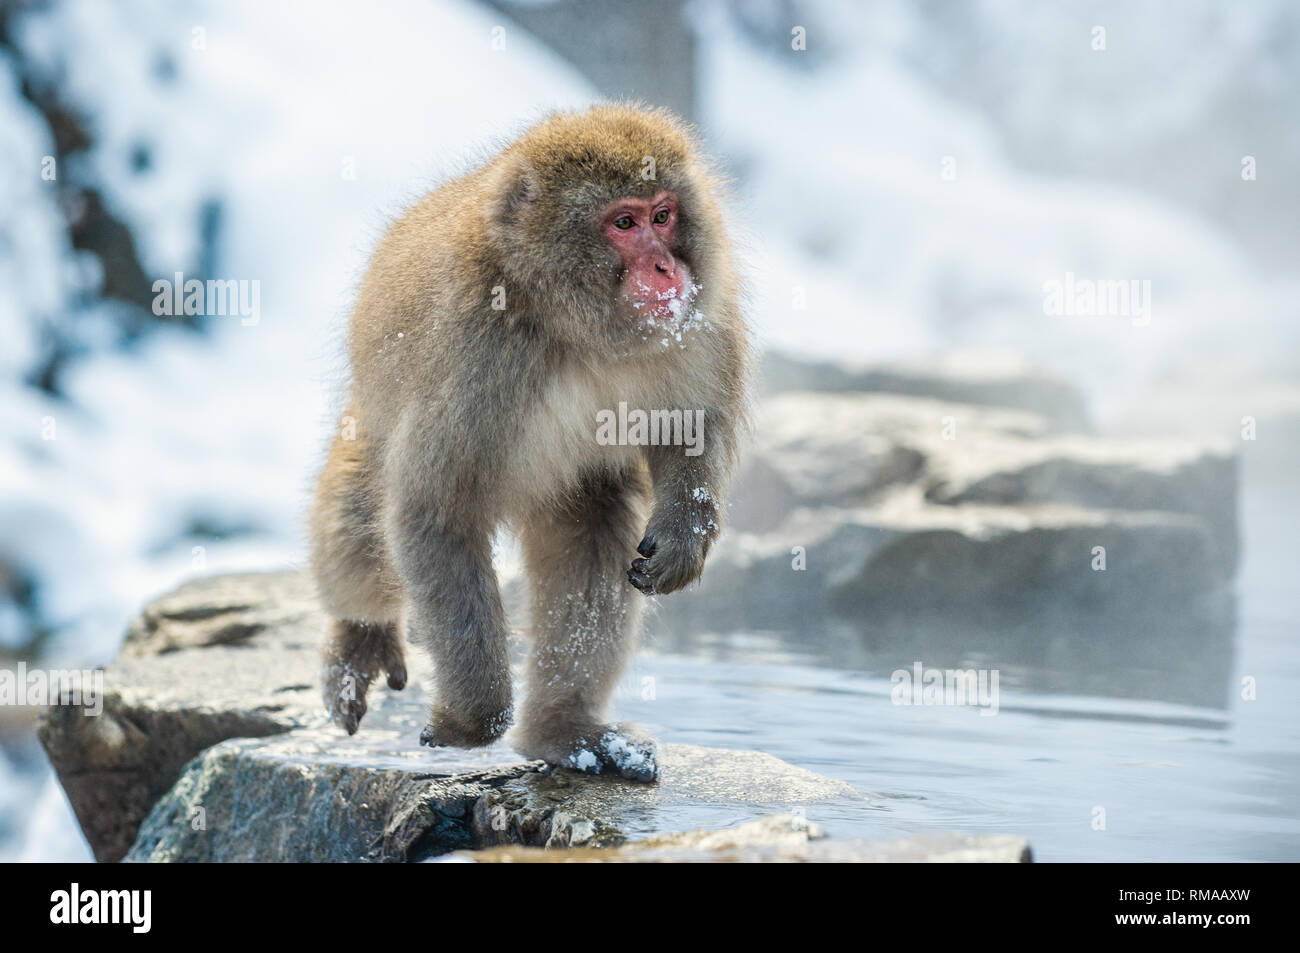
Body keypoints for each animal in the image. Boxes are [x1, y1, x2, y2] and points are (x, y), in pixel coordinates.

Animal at [308, 105, 751, 782]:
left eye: (663, 215)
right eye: (623, 223)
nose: (666, 269)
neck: (572, 326)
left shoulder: (704, 316)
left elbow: (692, 431)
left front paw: (685, 533)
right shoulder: (475, 349)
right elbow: (435, 516)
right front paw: (473, 719)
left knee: (597, 528)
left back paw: (562, 729)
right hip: (374, 417)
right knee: (360, 521)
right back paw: (358, 637)